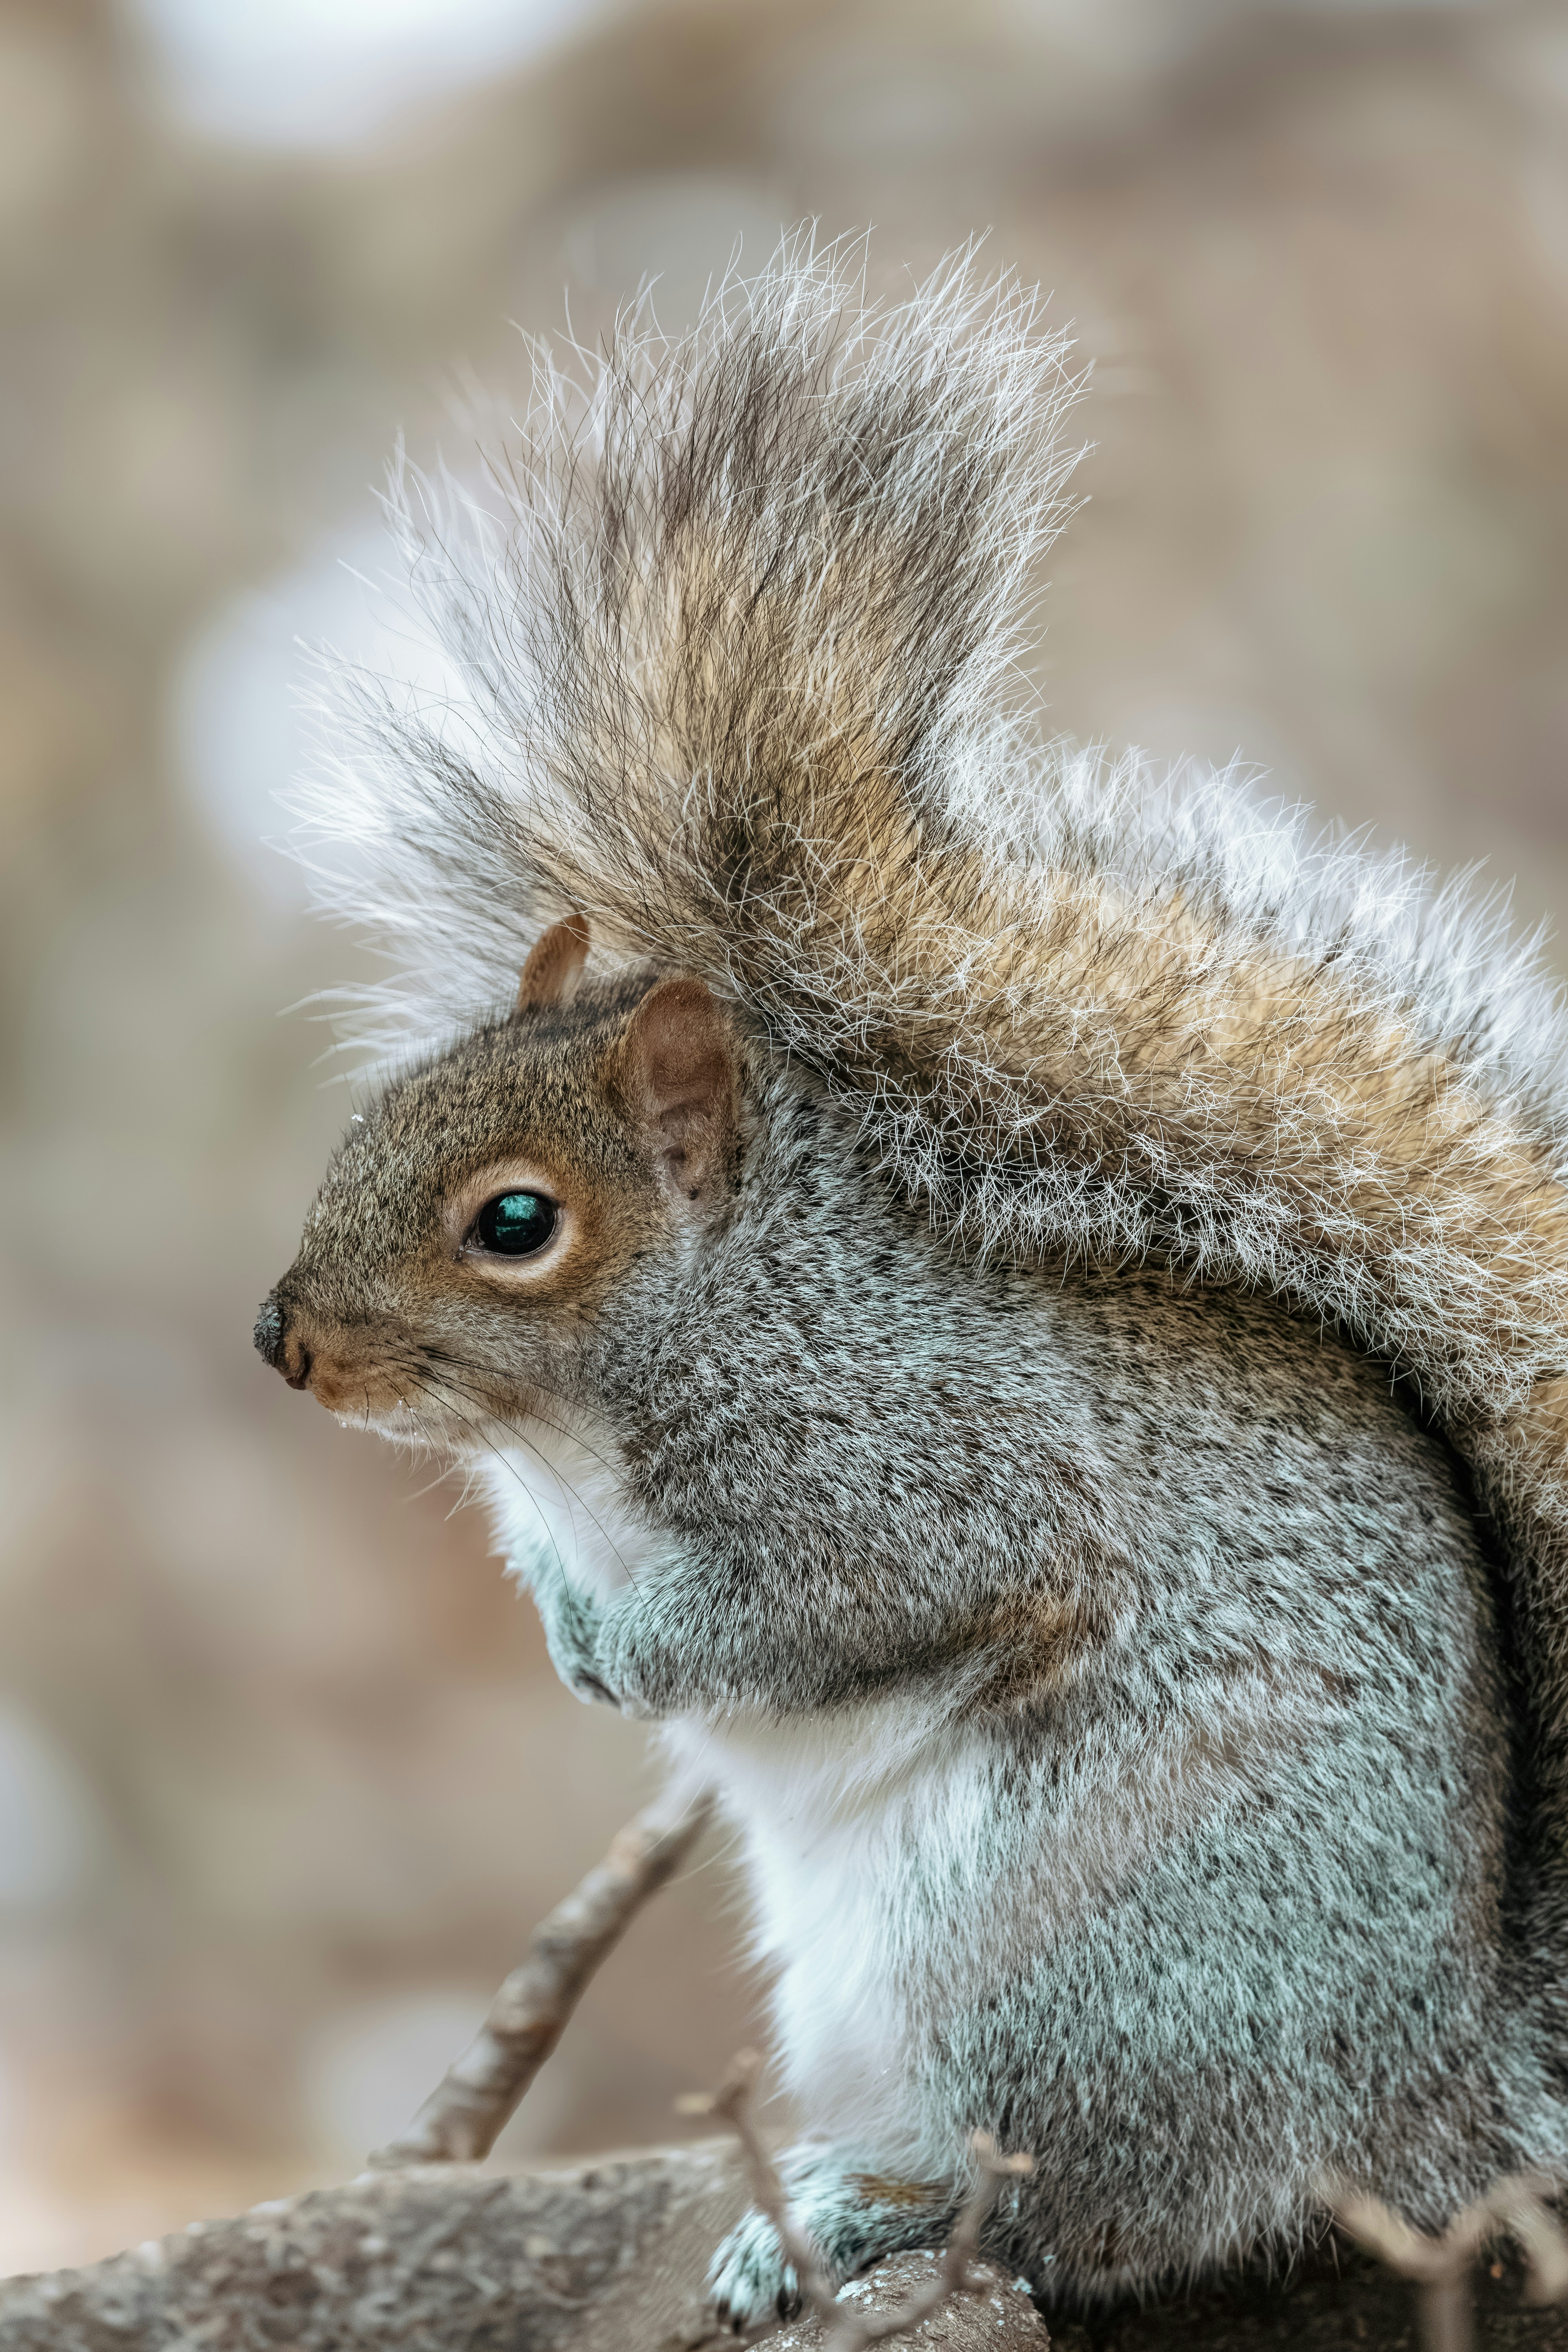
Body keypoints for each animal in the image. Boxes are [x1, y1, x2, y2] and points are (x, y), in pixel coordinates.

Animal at [255, 236, 1568, 2321]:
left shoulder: (906, 1454)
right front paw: (569, 1632)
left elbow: (856, 1592)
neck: (598, 1414)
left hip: (1053, 1962)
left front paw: (645, 1656)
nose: (284, 1341)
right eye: (375, 1109)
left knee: (1078, 2203)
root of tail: (1421, 2088)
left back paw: (855, 2216)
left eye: (515, 1223)